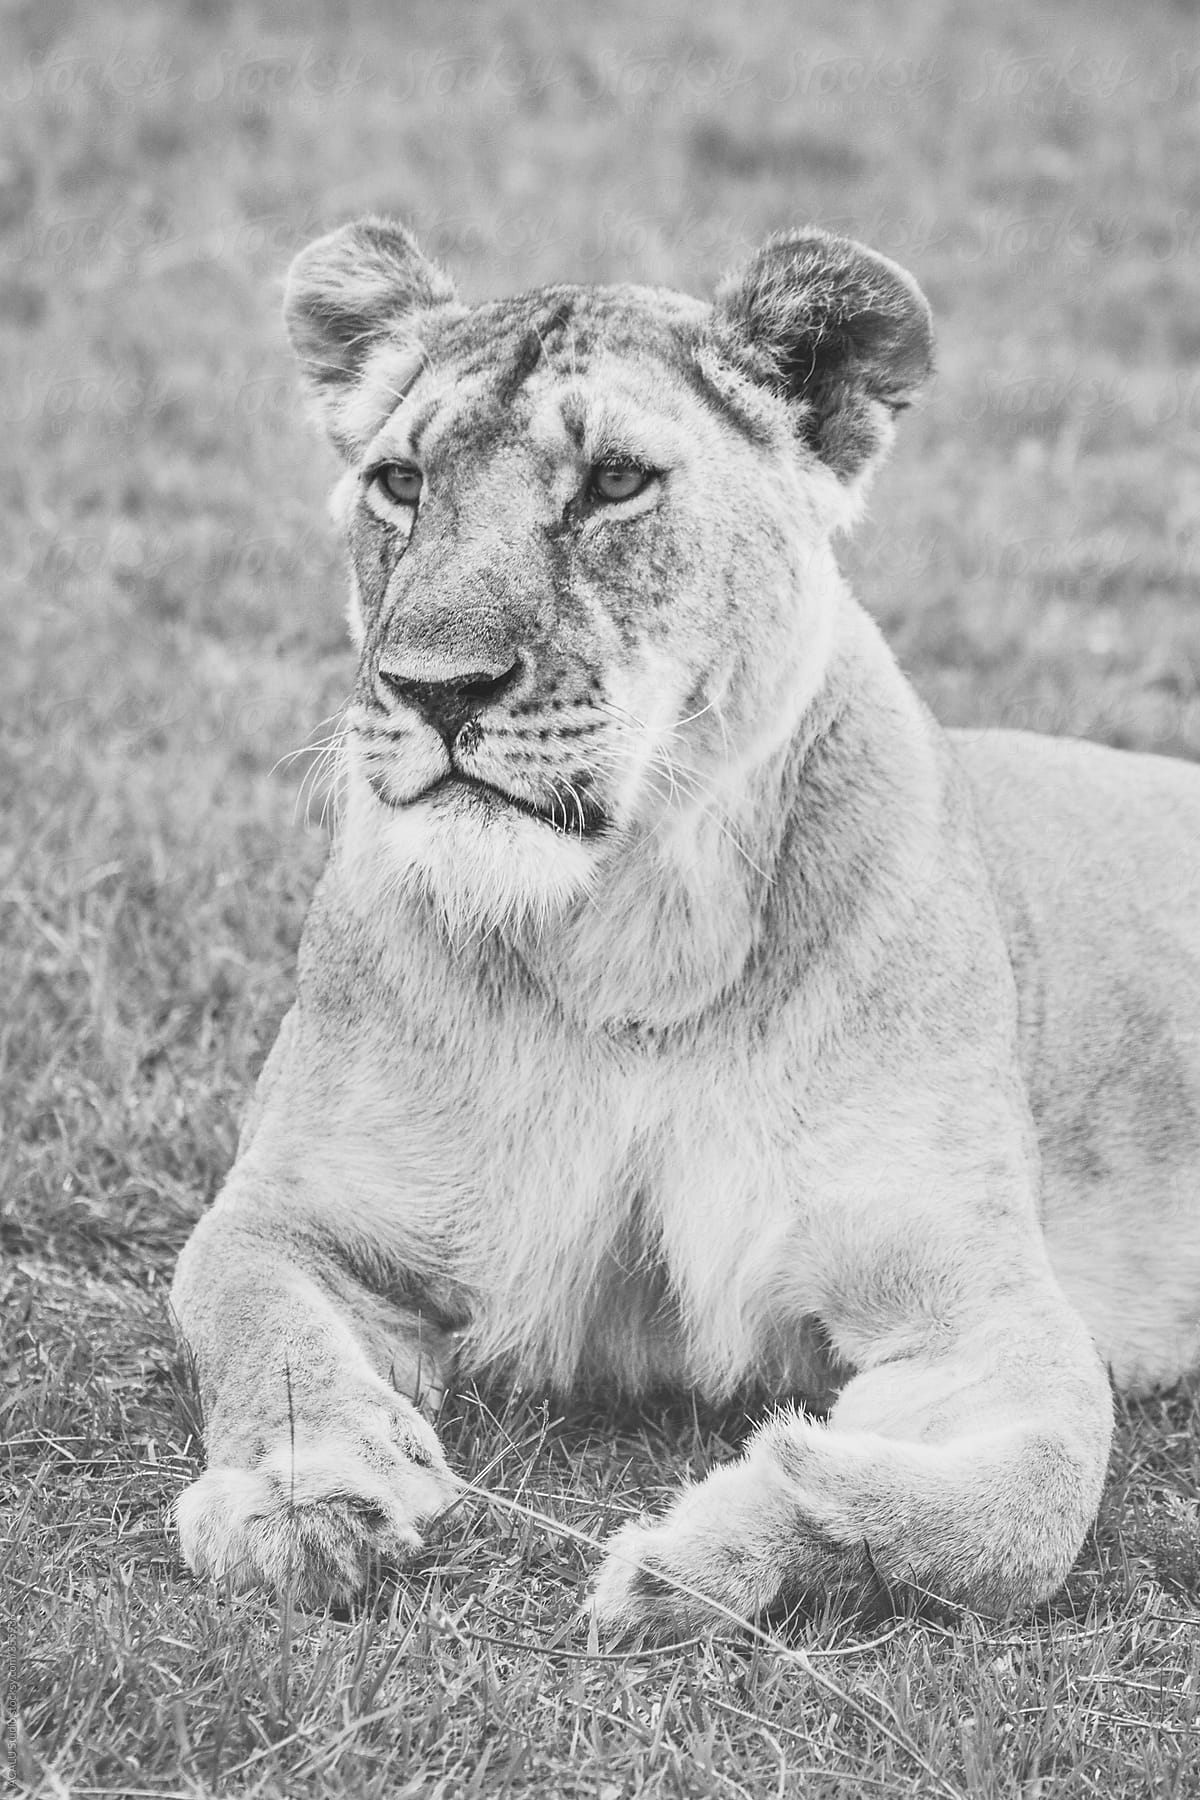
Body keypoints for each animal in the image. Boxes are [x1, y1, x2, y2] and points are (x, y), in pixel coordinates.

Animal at [170, 217, 1200, 1632]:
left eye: (614, 483)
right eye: (399, 482)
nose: (435, 688)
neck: (628, 944)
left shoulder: (981, 1300)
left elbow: (1031, 1504)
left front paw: (709, 1554)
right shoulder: (288, 1212)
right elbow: (249, 1325)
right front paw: (307, 1498)